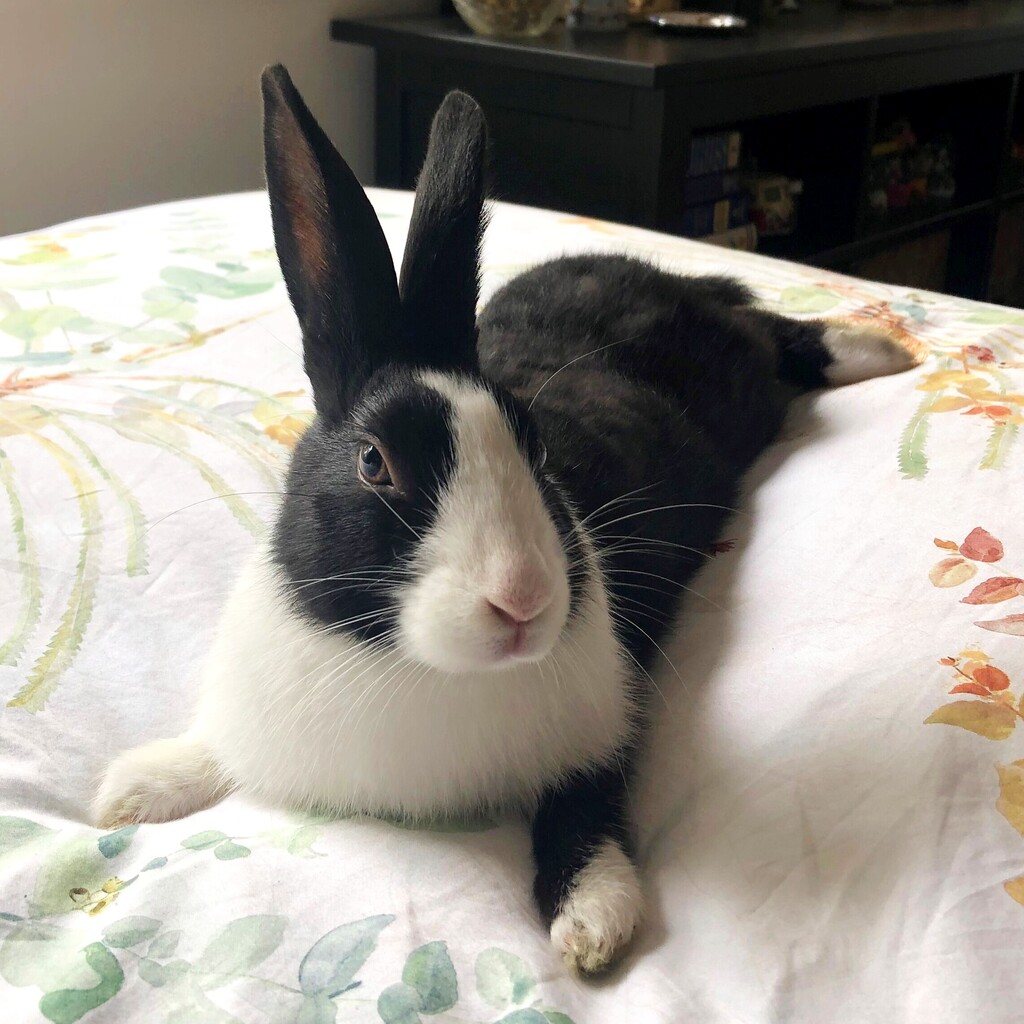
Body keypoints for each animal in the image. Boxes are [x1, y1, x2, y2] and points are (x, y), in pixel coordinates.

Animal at [94, 65, 923, 976]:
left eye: (535, 444)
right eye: (375, 464)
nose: (522, 600)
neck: (416, 668)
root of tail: (663, 274)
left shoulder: (606, 728)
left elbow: (584, 808)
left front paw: (594, 917)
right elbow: (214, 751)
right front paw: (132, 790)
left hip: (742, 378)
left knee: (776, 333)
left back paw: (882, 349)